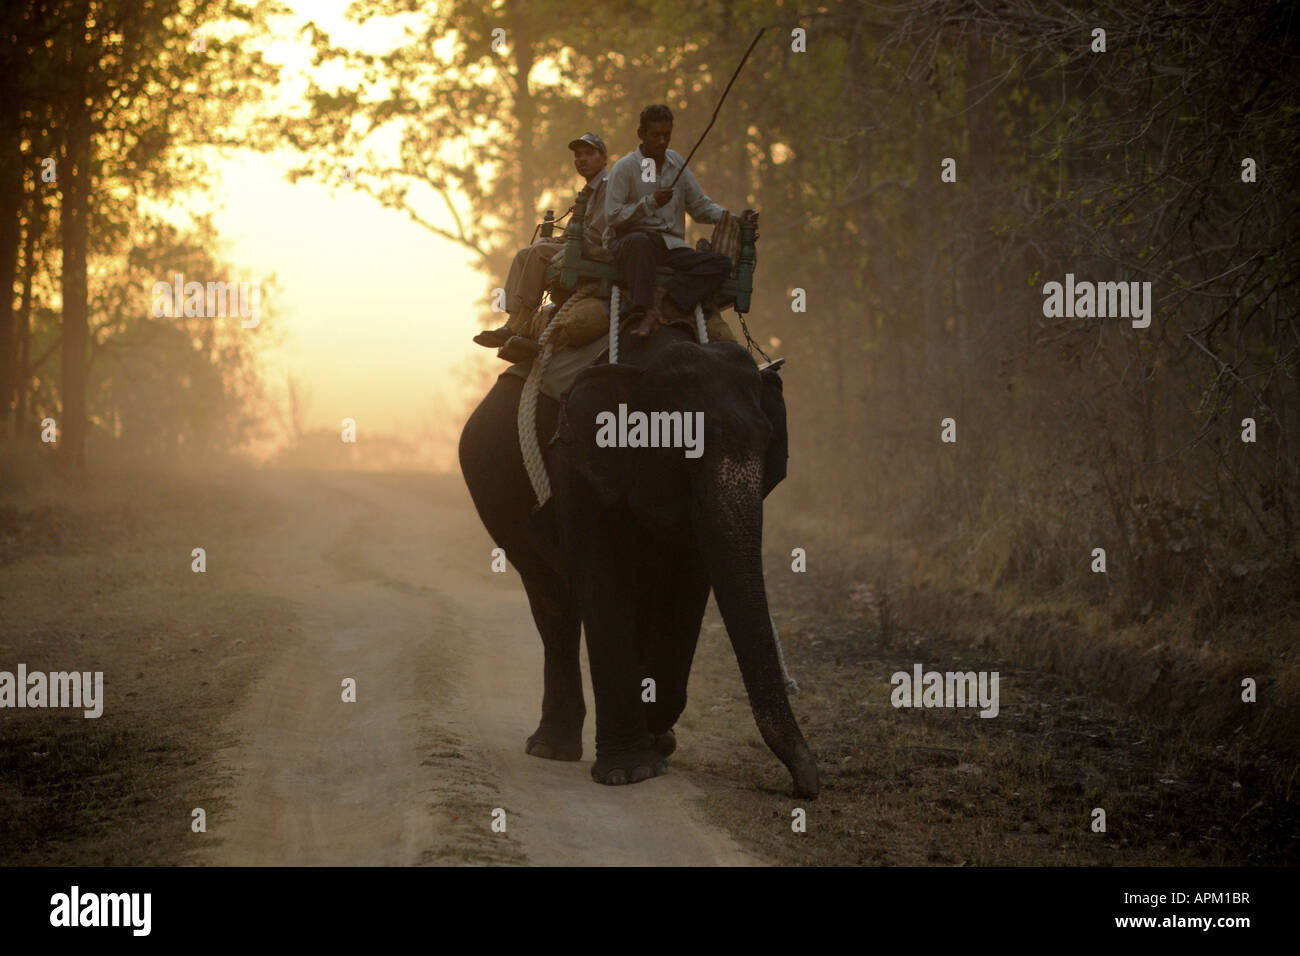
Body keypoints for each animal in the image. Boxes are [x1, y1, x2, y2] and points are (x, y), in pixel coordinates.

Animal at [458, 321, 818, 798]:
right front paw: (631, 772)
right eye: (685, 445)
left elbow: (688, 586)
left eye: (768, 440)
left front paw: (654, 738)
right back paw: (552, 749)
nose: (804, 786)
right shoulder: (574, 458)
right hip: (498, 503)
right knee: (552, 602)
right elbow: (602, 576)